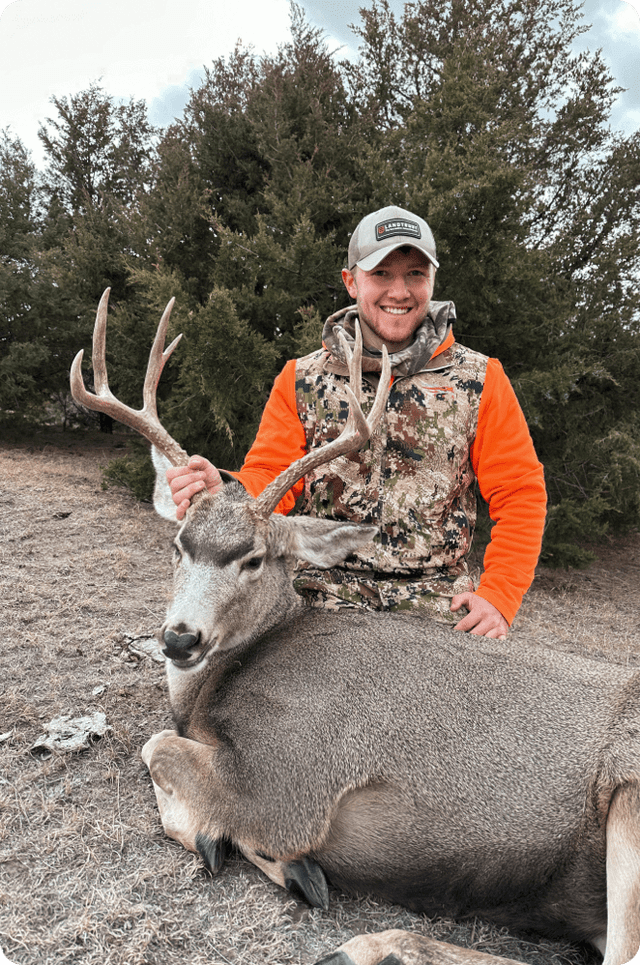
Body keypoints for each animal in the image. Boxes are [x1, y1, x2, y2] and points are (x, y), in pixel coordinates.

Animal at [70, 289, 640, 965]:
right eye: (178, 544)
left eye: (254, 559)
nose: (181, 638)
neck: (224, 683)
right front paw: (290, 869)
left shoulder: (288, 775)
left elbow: (158, 749)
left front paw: (250, 851)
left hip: (630, 803)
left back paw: (376, 945)